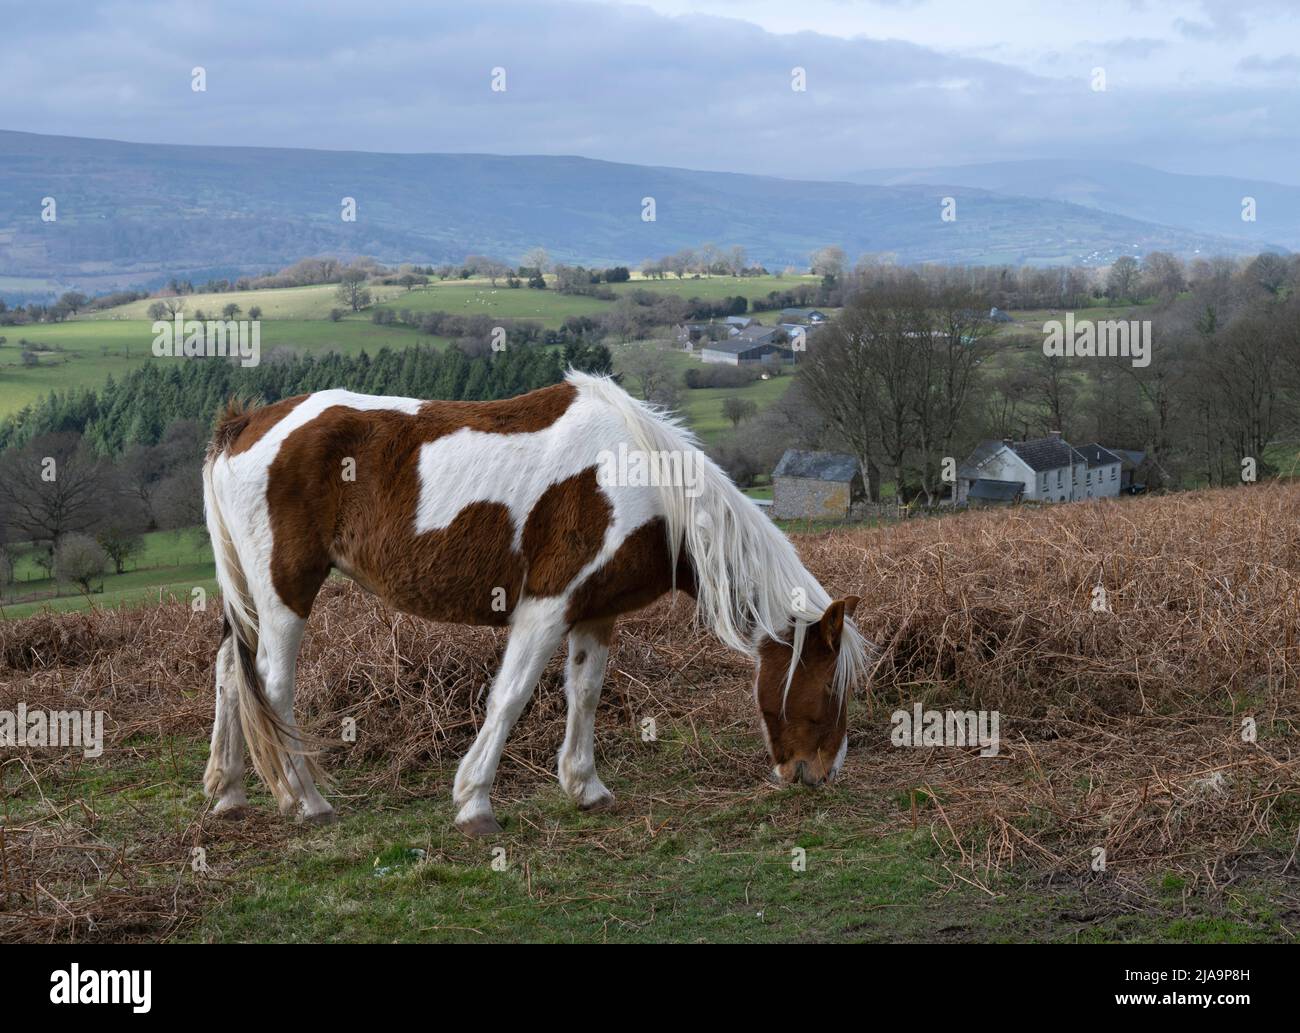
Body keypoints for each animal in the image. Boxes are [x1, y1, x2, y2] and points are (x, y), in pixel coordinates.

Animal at [201, 370, 869, 836]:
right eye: (828, 688)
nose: (820, 774)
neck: (645, 483)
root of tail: (244, 427)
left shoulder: (595, 613)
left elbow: (586, 693)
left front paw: (585, 787)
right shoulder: (546, 608)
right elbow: (512, 695)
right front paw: (474, 804)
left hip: (254, 599)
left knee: (230, 671)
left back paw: (229, 794)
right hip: (286, 592)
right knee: (273, 687)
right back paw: (307, 802)